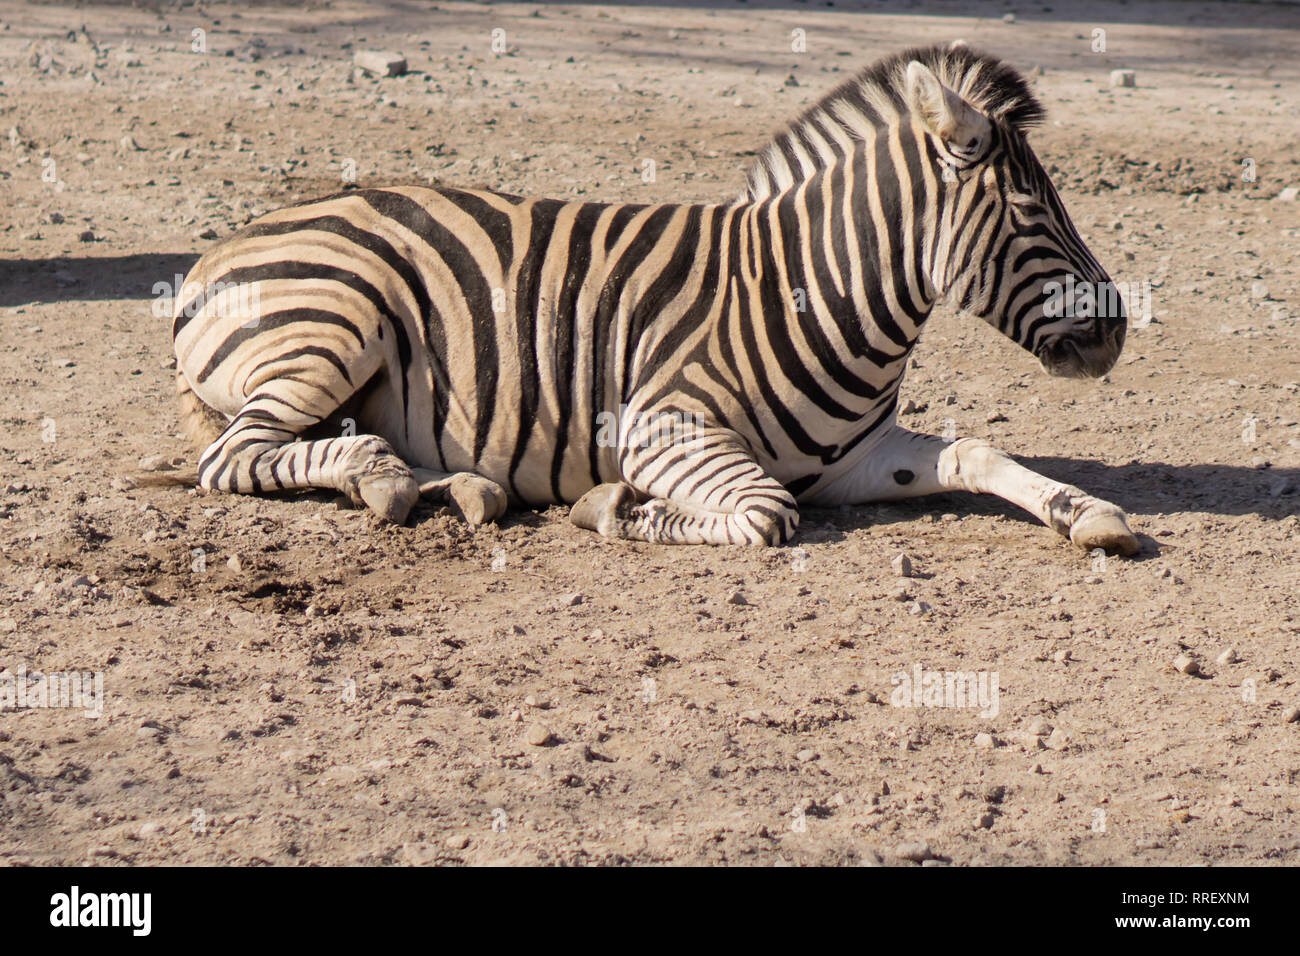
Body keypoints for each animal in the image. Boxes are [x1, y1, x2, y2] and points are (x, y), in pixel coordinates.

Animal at [169, 42, 1138, 555]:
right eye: (1029, 211)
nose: (1120, 333)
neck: (813, 295)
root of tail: (225, 244)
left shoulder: (854, 459)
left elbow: (978, 452)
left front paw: (1085, 510)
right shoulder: (657, 427)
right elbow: (763, 513)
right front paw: (615, 506)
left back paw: (456, 486)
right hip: (333, 326)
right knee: (234, 456)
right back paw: (377, 475)